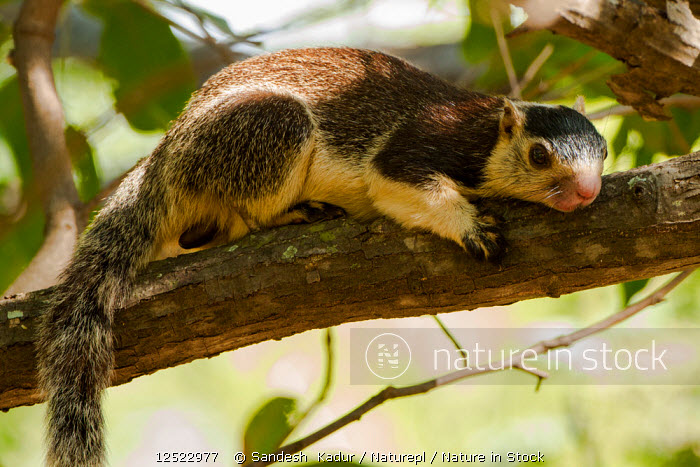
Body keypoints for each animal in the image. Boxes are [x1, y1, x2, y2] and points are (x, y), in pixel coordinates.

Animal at [36, 47, 606, 466]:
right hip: (263, 132)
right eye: (539, 155)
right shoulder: (417, 146)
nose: (587, 192)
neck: (484, 131)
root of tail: (163, 160)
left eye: (603, 150)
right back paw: (291, 213)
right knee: (249, 212)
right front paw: (474, 227)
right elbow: (401, 184)